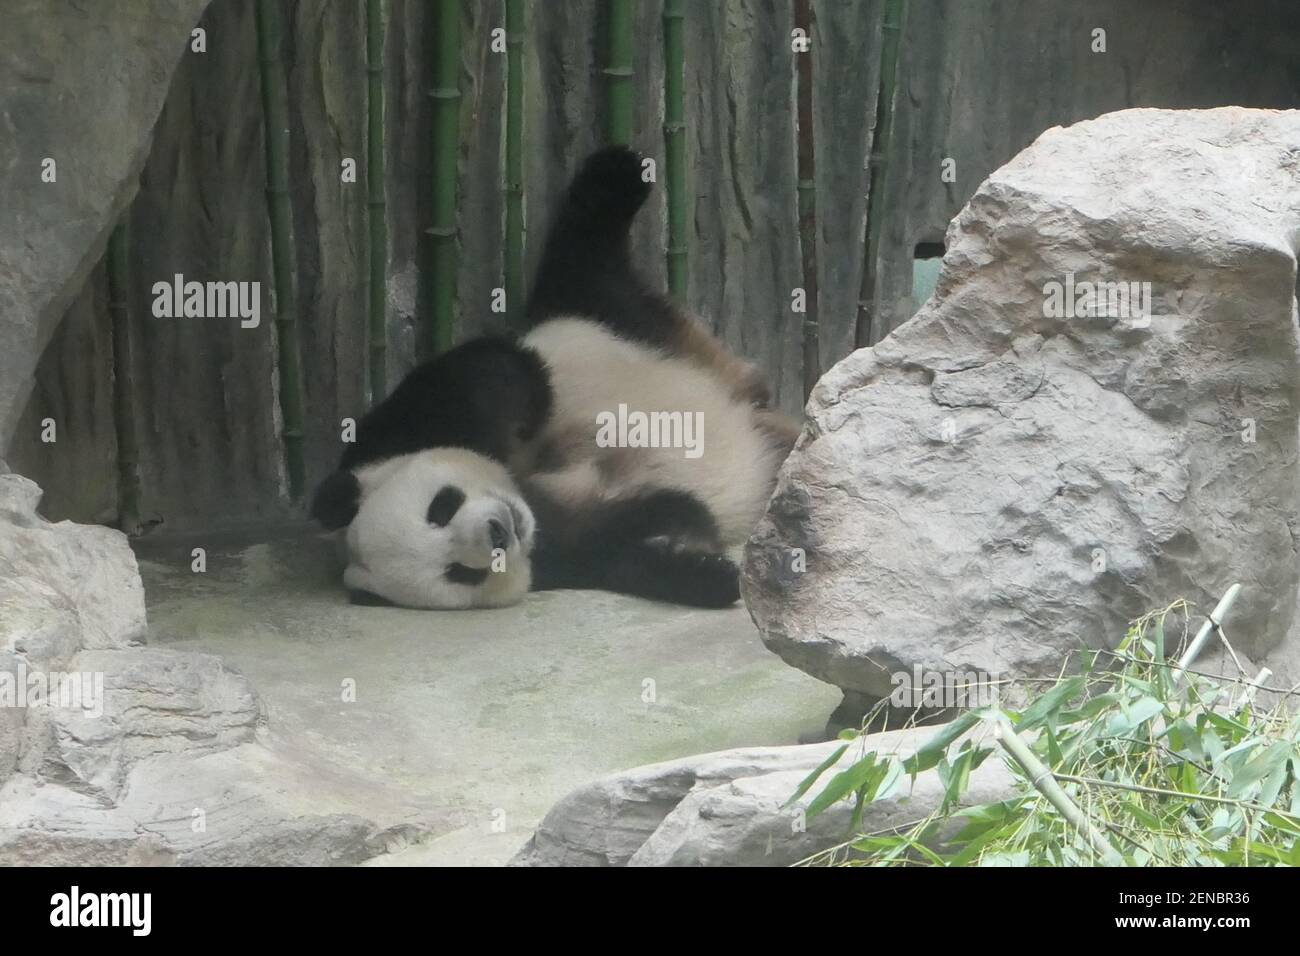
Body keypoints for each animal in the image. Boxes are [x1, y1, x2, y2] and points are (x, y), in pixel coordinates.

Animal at [310, 146, 800, 609]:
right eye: (460, 573)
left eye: (441, 507)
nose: (498, 532)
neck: (525, 494)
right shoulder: (562, 551)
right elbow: (636, 534)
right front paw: (700, 567)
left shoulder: (400, 433)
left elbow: (485, 376)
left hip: (602, 323)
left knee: (585, 267)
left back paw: (617, 175)